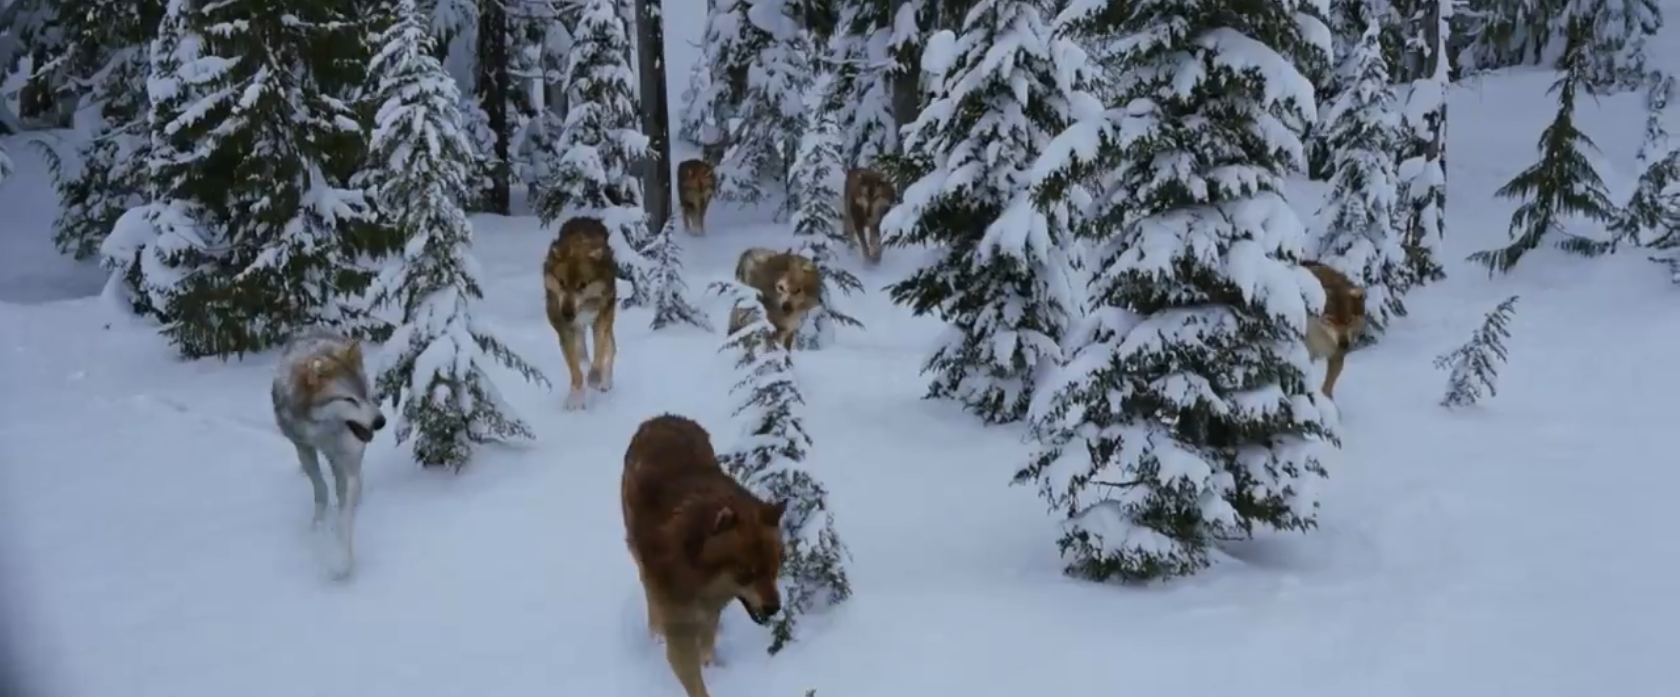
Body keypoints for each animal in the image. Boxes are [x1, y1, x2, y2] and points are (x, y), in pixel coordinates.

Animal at [270, 330, 384, 581]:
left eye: (365, 394)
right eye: (350, 399)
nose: (381, 421)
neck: (324, 429)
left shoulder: (347, 455)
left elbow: (345, 509)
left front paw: (341, 561)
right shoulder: (303, 447)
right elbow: (321, 489)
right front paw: (318, 526)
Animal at [540, 218, 621, 411]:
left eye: (582, 285)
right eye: (561, 282)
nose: (567, 313)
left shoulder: (601, 318)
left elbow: (600, 351)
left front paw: (595, 378)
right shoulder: (564, 328)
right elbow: (575, 367)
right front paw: (575, 399)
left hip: (608, 315)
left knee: (611, 347)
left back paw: (606, 381)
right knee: (583, 350)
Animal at [624, 414, 786, 697]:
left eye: (775, 569)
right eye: (747, 572)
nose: (774, 608)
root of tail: (662, 417)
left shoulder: (711, 611)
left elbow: (707, 645)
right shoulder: (680, 631)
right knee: (647, 588)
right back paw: (655, 632)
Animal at [1296, 262, 1364, 401]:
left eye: (1349, 320)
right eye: (1331, 320)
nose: (1344, 344)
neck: (1323, 336)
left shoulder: (1337, 356)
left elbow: (1328, 386)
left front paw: (1328, 401)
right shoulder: (1309, 353)